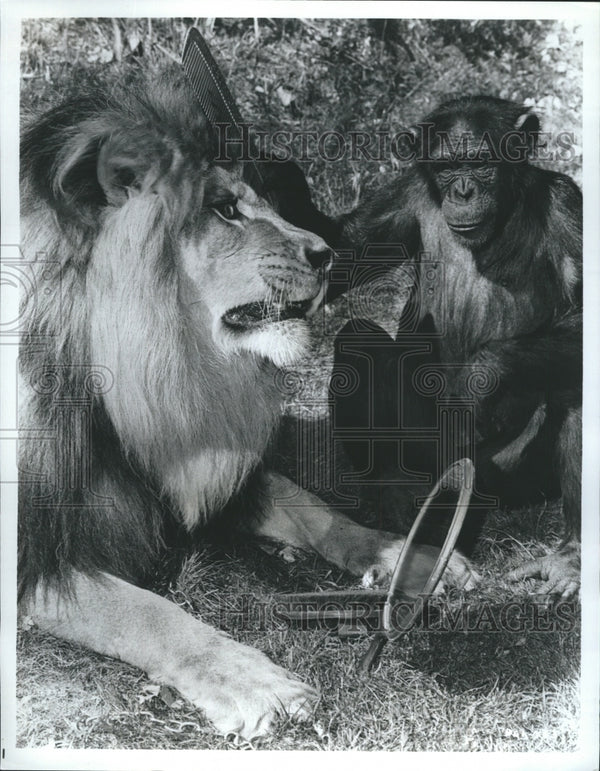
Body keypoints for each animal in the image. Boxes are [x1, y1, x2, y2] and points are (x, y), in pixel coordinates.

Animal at [18, 68, 475, 741]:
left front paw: (409, 557)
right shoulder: (33, 552)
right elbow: (142, 609)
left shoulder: (220, 472)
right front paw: (255, 682)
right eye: (225, 209)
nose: (327, 254)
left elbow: (316, 510)